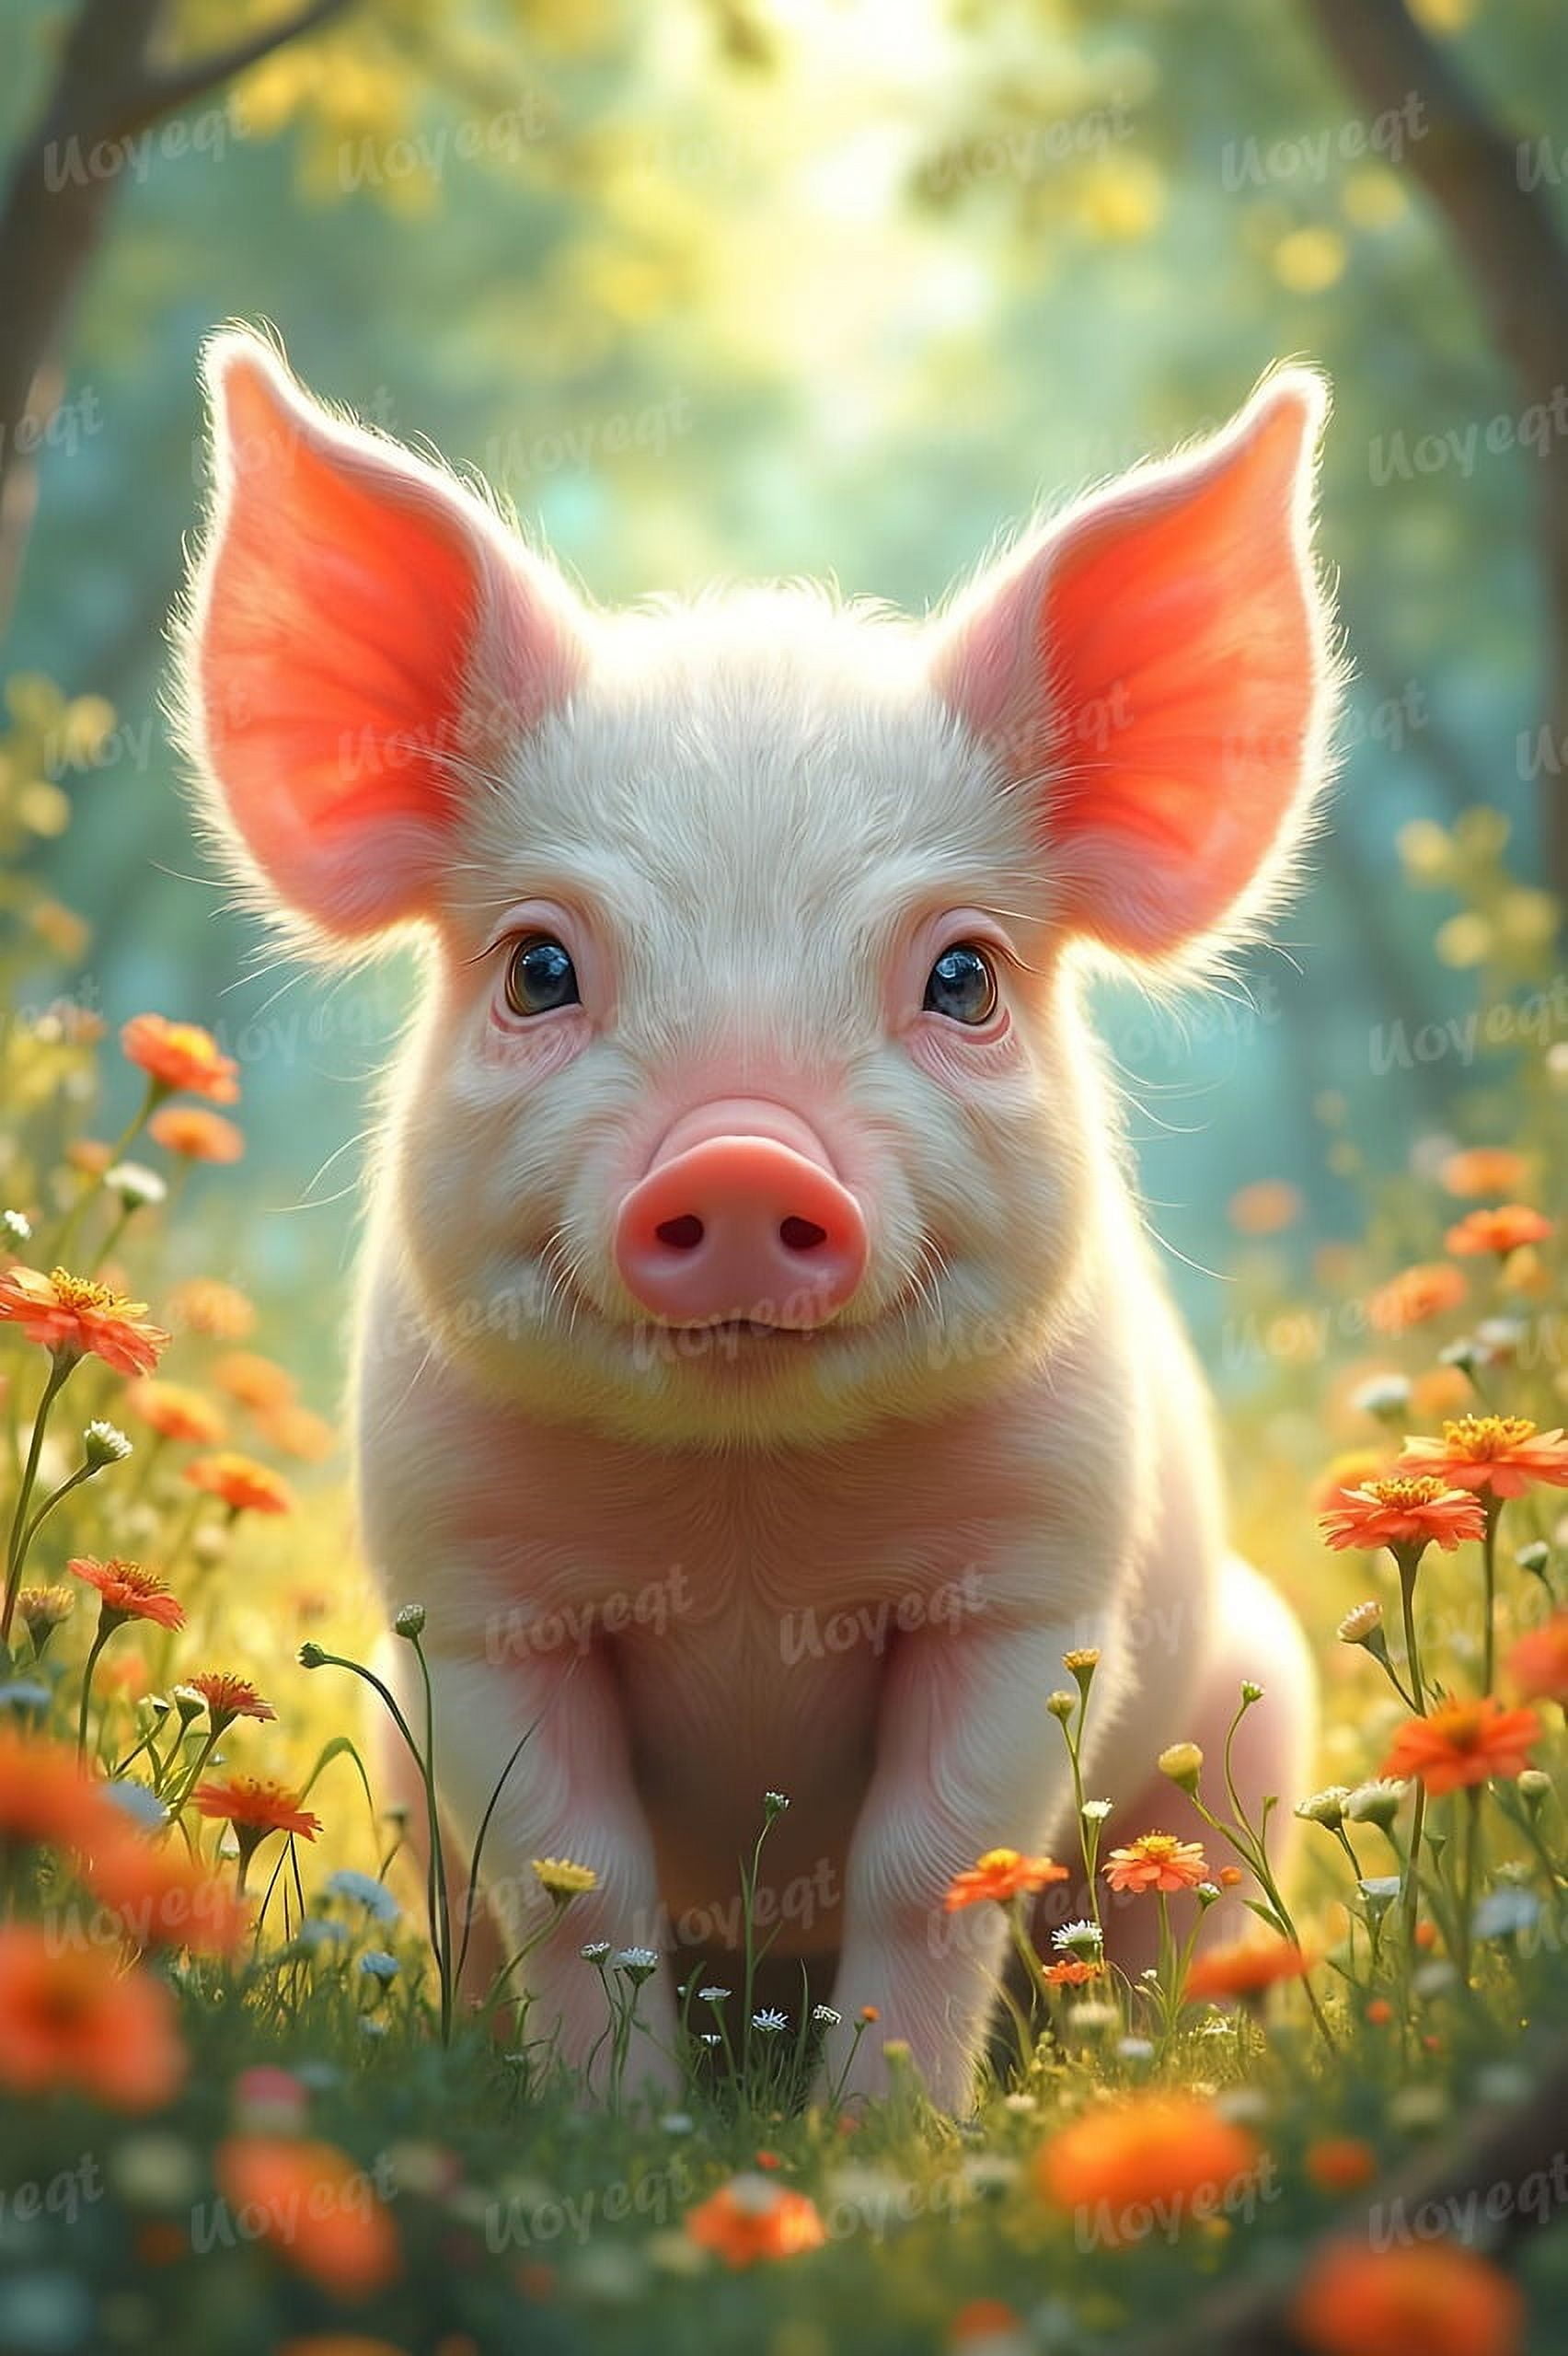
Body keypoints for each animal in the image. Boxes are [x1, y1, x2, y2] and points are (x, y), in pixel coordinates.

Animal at [176, 328, 1334, 2110]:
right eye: (538, 967)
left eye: (961, 976)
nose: (737, 1162)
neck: (744, 1519)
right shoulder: (475, 1597)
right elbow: (571, 1876)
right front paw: (620, 2132)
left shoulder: (1032, 1583)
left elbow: (934, 1865)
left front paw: (884, 2140)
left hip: (1250, 1722)